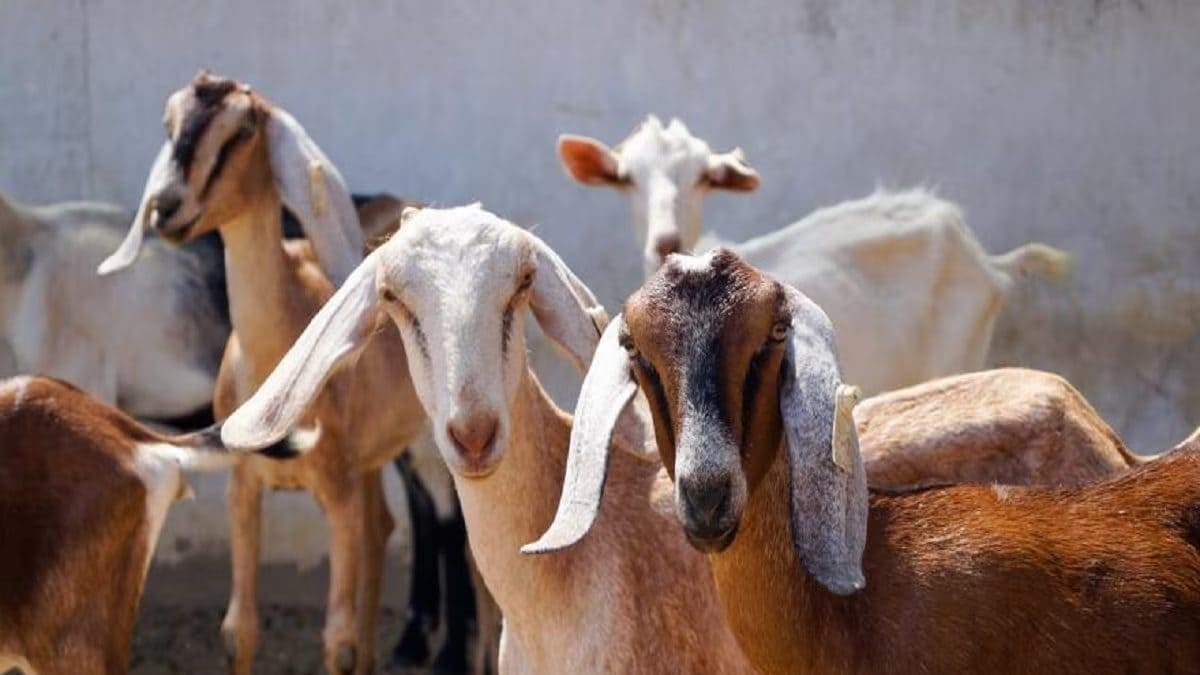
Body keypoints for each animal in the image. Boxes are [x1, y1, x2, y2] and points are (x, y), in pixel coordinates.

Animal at [99, 73, 425, 675]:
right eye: (170, 123)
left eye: (242, 130)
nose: (167, 208)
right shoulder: (243, 486)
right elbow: (239, 629)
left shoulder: (336, 492)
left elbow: (336, 642)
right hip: (371, 463)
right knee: (381, 530)